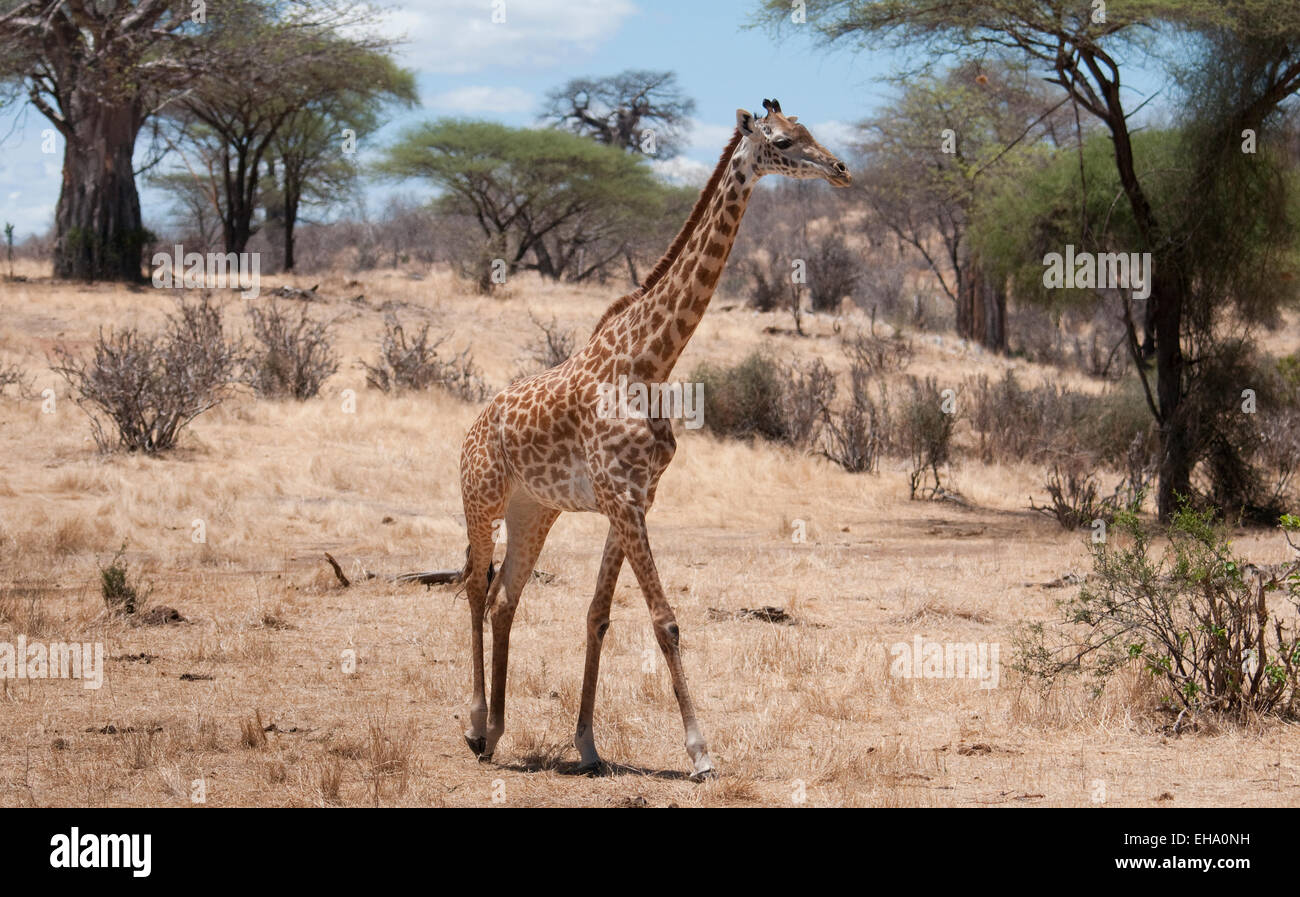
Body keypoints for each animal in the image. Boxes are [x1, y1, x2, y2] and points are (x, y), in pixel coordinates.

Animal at [455, 99, 851, 779]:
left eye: (808, 130)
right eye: (781, 141)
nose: (840, 168)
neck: (651, 362)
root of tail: (468, 434)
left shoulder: (636, 498)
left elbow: (598, 615)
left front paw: (588, 744)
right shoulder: (622, 498)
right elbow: (664, 620)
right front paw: (700, 752)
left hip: (534, 509)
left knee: (506, 595)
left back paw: (501, 728)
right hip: (481, 500)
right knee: (476, 588)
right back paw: (478, 728)